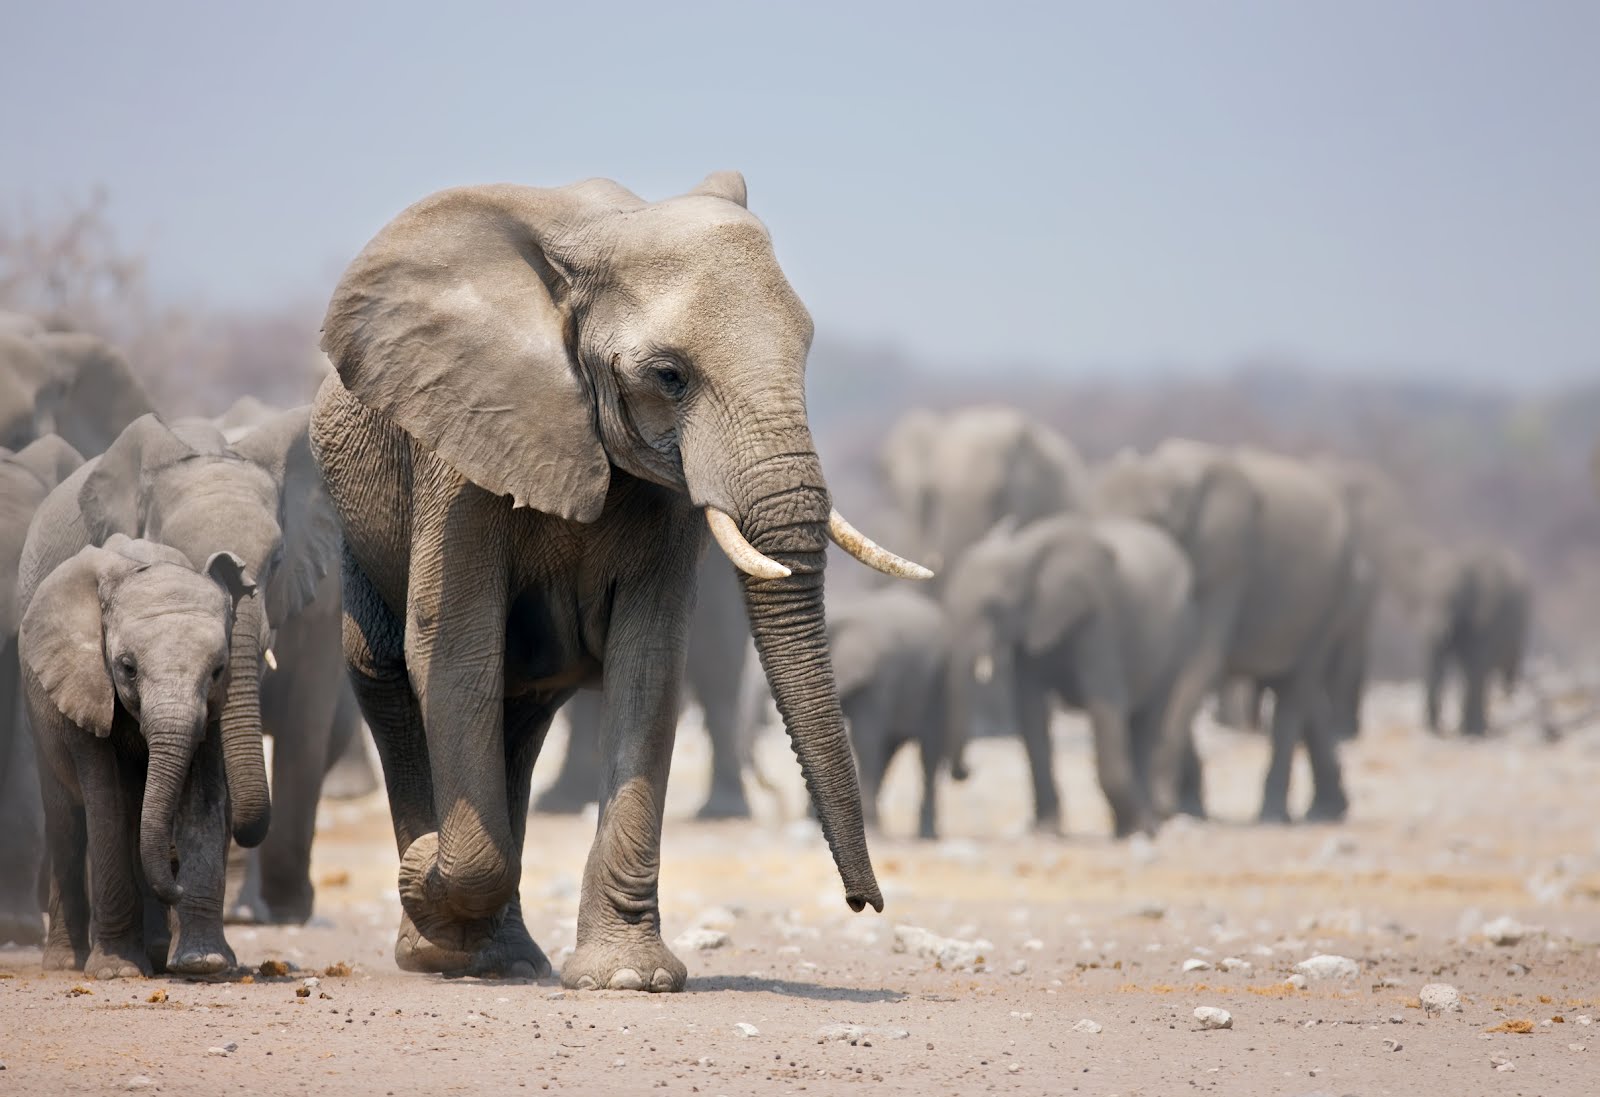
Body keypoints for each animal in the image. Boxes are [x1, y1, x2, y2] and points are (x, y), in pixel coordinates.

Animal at [19, 535, 253, 977]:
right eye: (127, 667)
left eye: (218, 671)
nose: (176, 882)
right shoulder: (84, 685)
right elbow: (105, 804)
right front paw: (117, 970)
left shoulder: (213, 713)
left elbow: (203, 801)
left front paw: (204, 963)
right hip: (41, 728)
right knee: (68, 826)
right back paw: (65, 963)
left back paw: (159, 954)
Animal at [942, 515, 1195, 839]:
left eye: (994, 608)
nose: (967, 771)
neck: (1025, 549)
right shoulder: (1030, 632)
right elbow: (1031, 713)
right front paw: (1045, 830)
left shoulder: (1099, 620)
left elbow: (1104, 706)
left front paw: (1138, 827)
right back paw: (1128, 828)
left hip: (1178, 639)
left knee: (1147, 725)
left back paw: (1142, 827)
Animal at [1095, 441, 1359, 824]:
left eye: (1156, 524)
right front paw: (1186, 807)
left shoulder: (1226, 559)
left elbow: (1198, 660)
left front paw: (1166, 807)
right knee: (1301, 689)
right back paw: (1328, 810)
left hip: (1334, 589)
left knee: (1295, 690)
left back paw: (1274, 814)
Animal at [1420, 544, 1531, 736]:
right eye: (1417, 599)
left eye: (1452, 599)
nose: (1440, 729)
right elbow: (1440, 664)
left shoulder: (1485, 614)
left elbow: (1475, 665)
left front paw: (1472, 733)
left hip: (1519, 627)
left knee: (1503, 666)